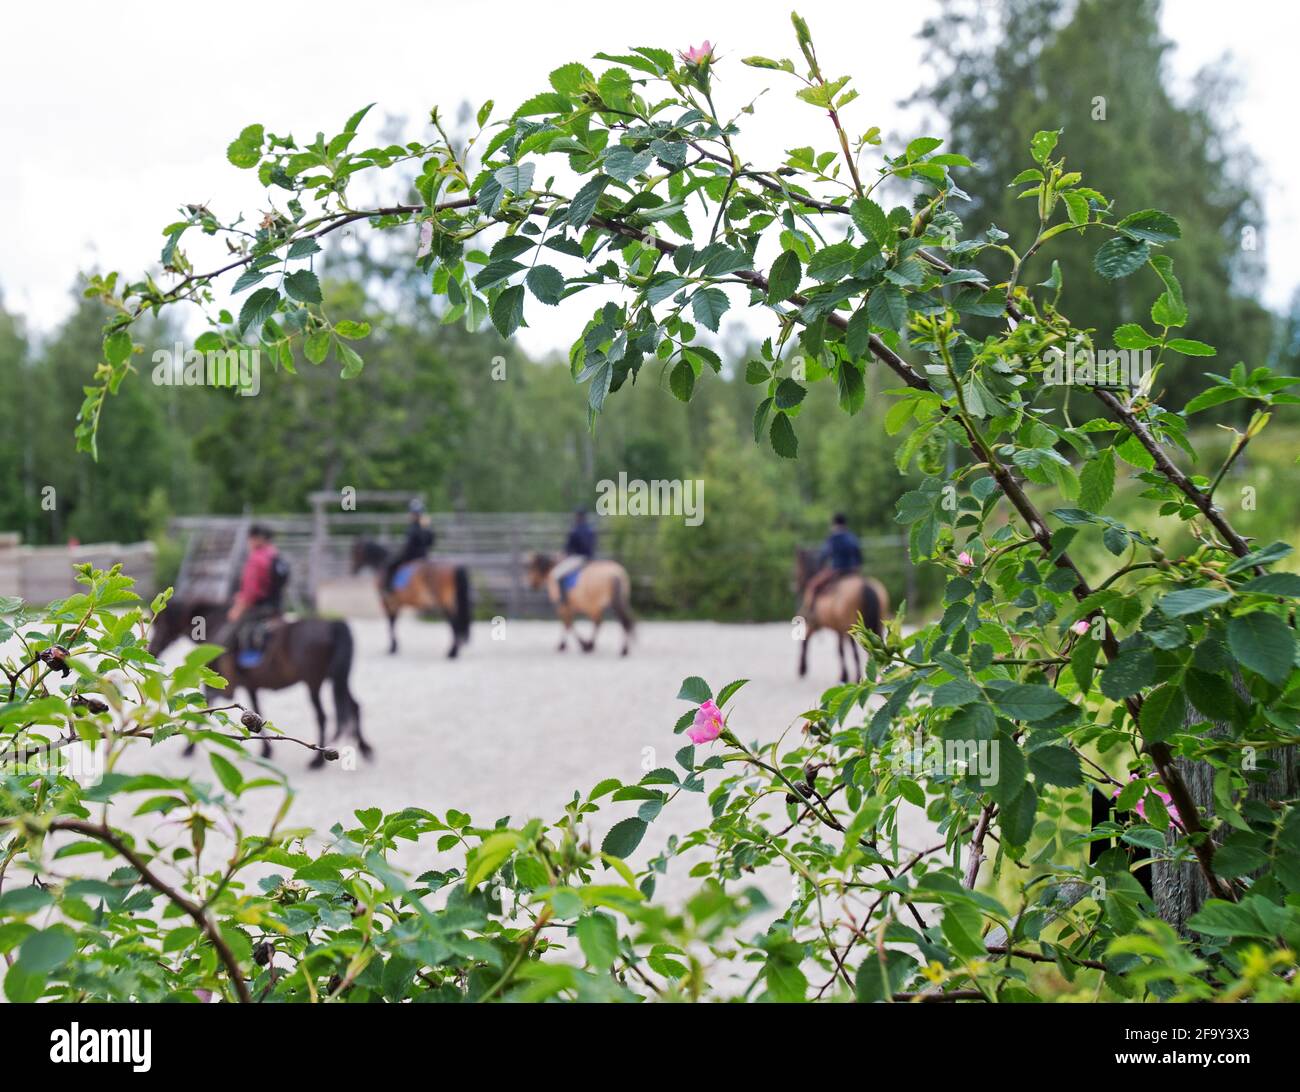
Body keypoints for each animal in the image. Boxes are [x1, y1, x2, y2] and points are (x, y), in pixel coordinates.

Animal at [148, 598, 370, 766]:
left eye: (160, 623)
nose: (152, 649)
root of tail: (332, 624)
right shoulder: (251, 686)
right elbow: (257, 710)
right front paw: (266, 750)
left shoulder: (221, 687)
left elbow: (204, 709)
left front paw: (189, 746)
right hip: (337, 678)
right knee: (354, 706)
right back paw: (365, 748)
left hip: (313, 682)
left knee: (322, 716)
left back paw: (317, 761)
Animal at [794, 547, 889, 683]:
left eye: (798, 565)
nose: (795, 585)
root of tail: (865, 584)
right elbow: (840, 650)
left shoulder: (817, 624)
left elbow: (808, 642)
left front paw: (802, 669)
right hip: (874, 625)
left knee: (855, 652)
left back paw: (858, 676)